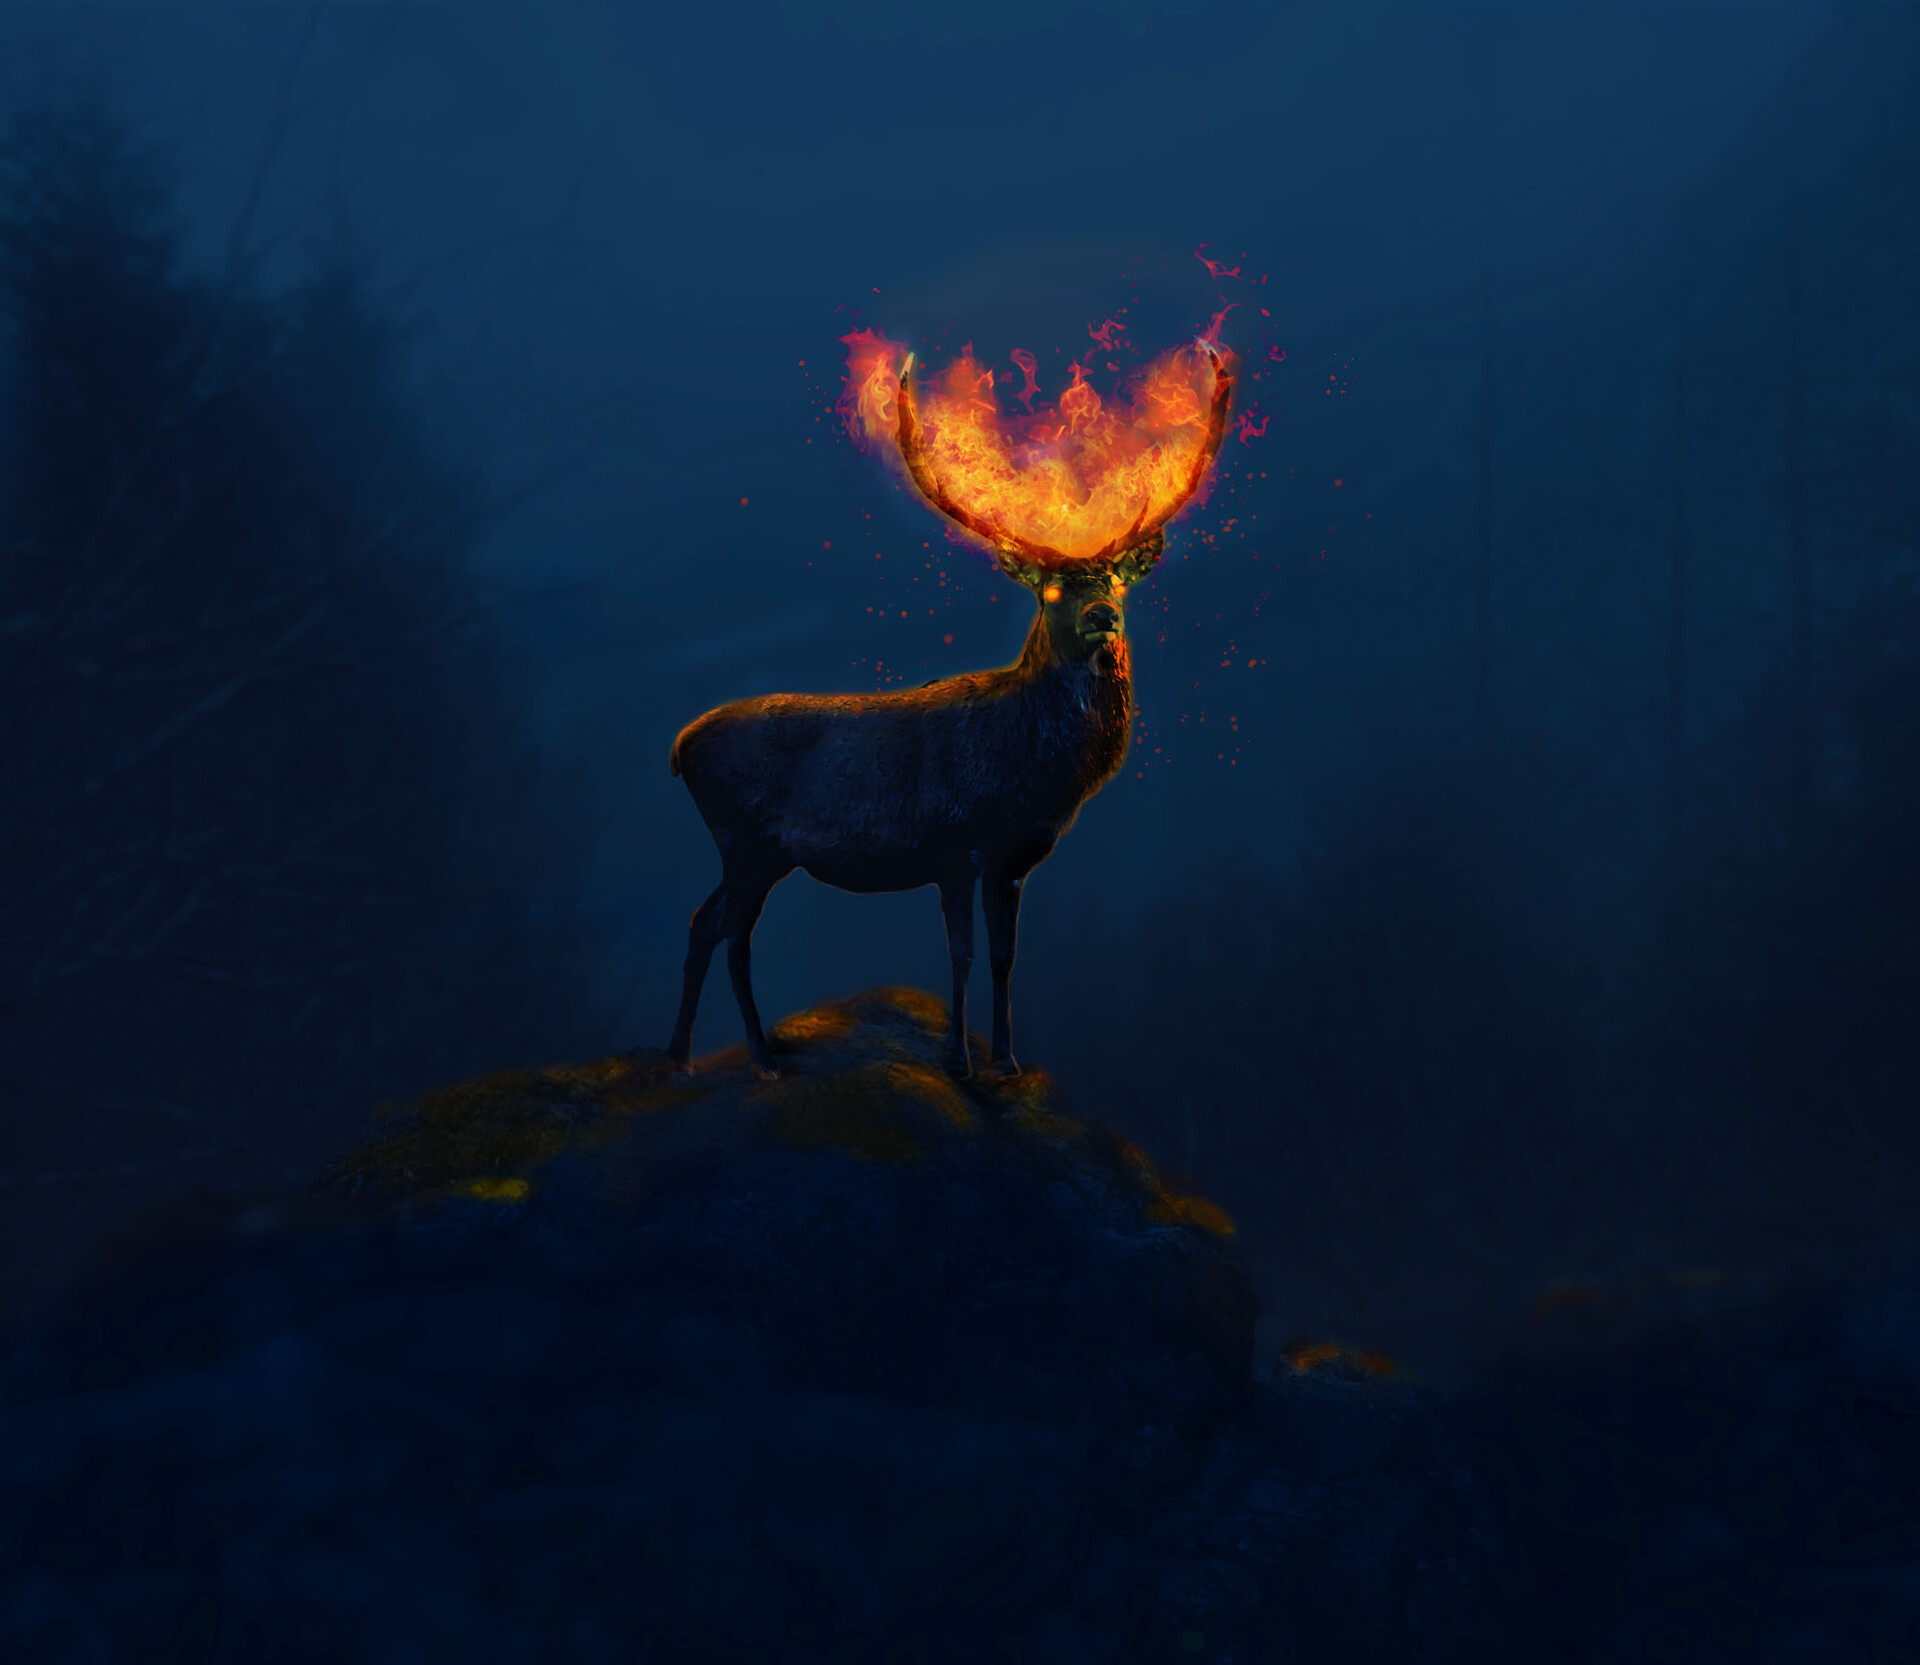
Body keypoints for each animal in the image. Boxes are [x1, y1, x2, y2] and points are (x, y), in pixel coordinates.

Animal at [659, 343, 1234, 1080]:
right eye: (1050, 591)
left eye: (1118, 582)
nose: (1102, 616)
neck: (1034, 774)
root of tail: (678, 748)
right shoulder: (954, 844)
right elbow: (960, 954)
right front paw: (960, 1060)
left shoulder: (1014, 859)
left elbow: (1005, 955)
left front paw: (1008, 1060)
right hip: (743, 837)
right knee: (732, 933)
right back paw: (763, 1054)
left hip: (759, 851)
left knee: (703, 921)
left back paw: (680, 1053)